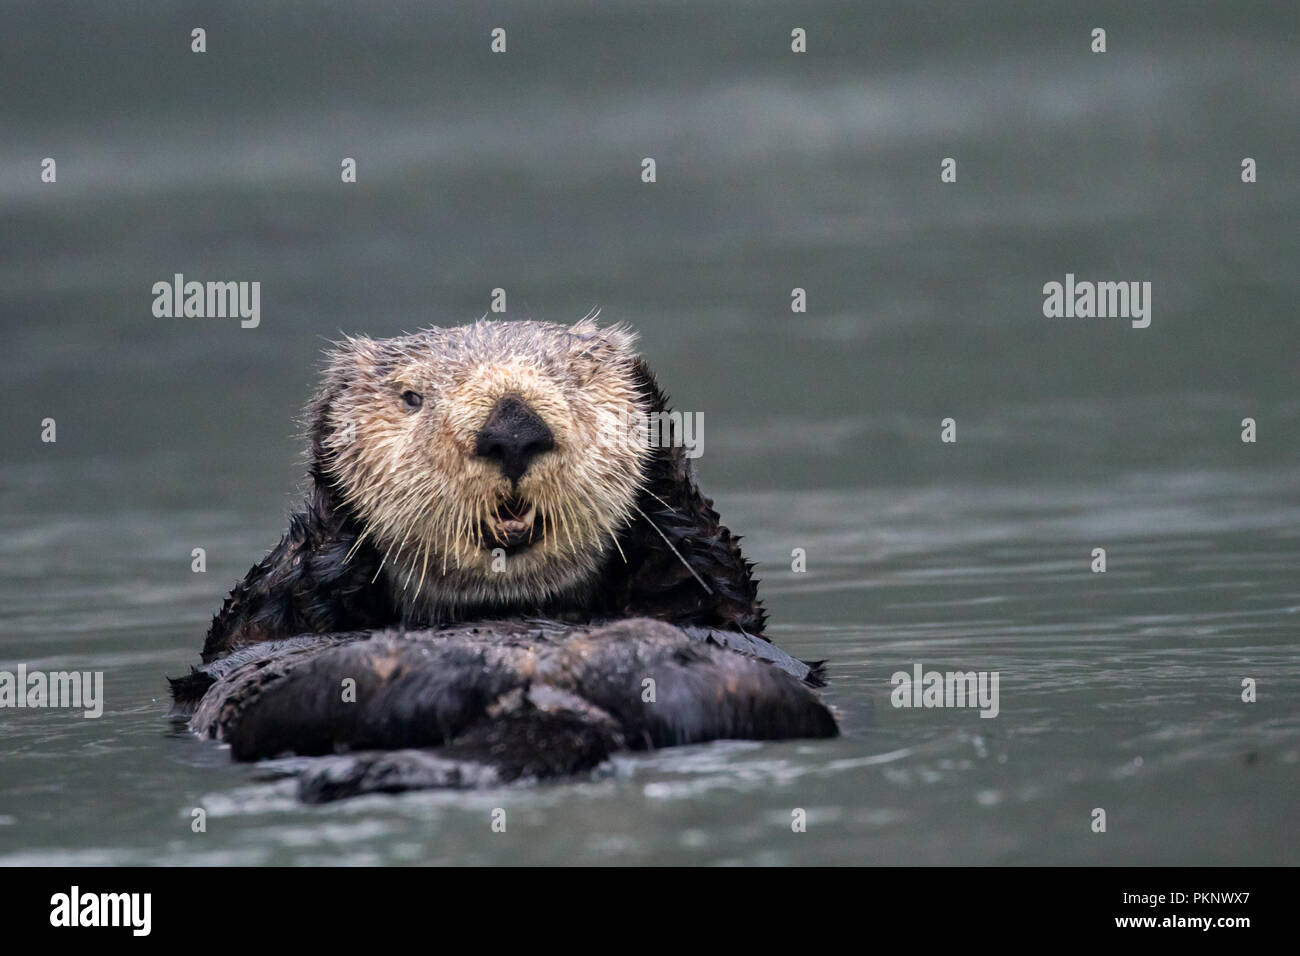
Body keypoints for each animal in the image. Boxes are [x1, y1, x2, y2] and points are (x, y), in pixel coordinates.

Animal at [172, 318, 836, 799]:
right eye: (412, 397)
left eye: (575, 382)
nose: (513, 427)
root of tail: (541, 708)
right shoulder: (262, 620)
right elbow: (266, 606)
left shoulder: (713, 599)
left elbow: (710, 579)